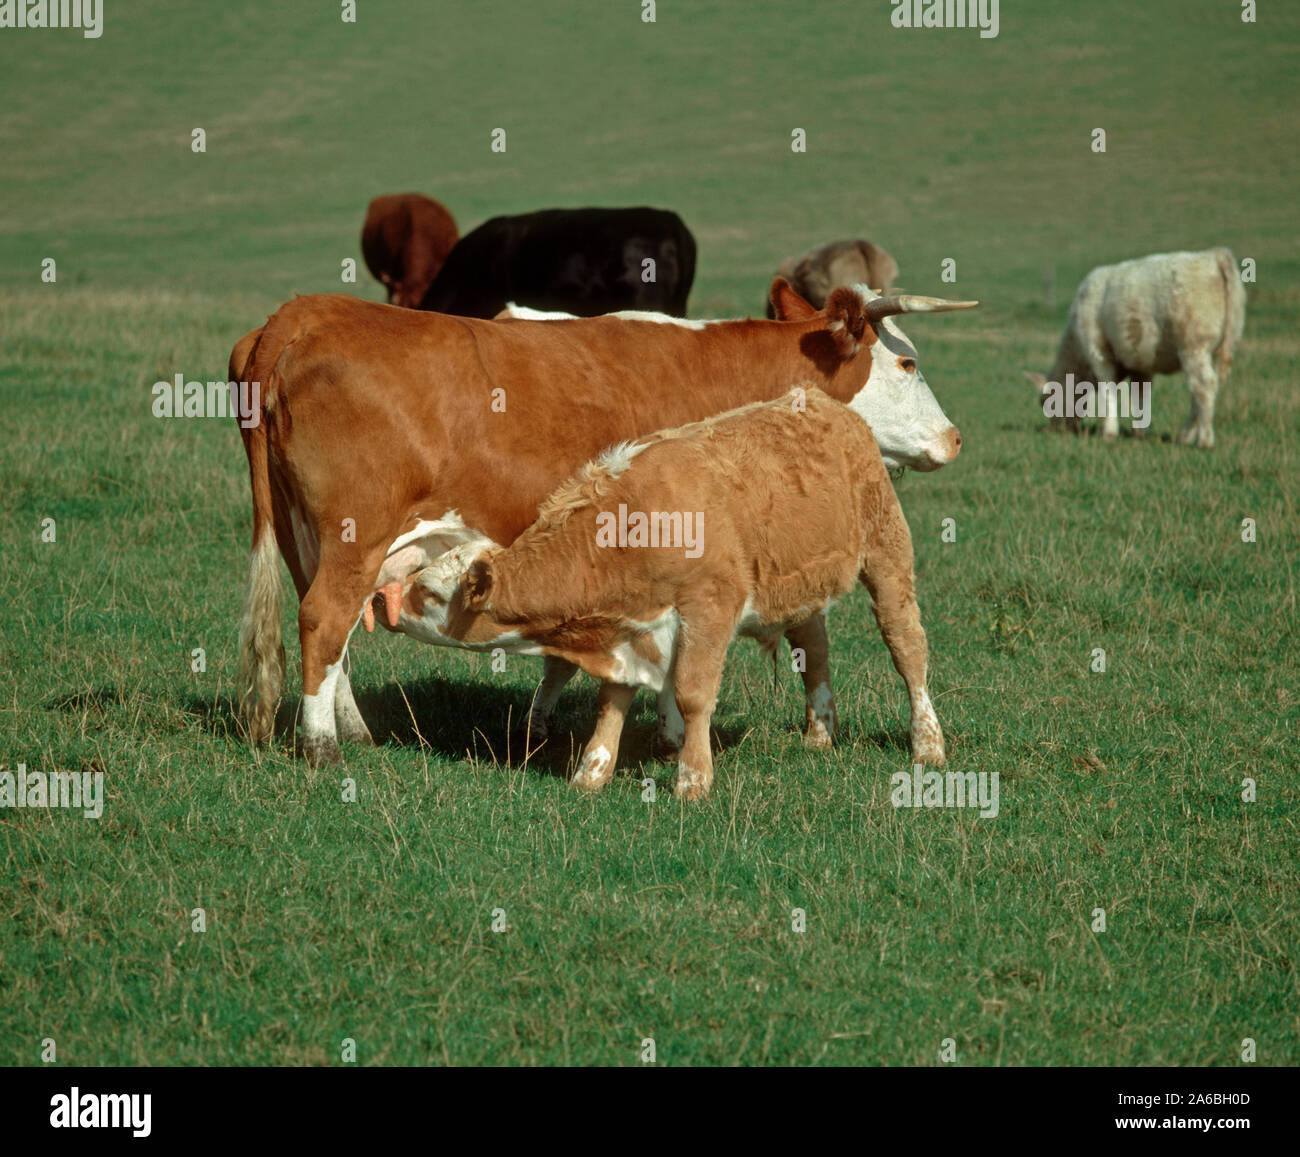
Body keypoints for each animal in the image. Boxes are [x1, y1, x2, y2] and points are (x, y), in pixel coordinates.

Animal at [367, 388, 943, 800]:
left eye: (429, 592)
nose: (379, 601)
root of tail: (826, 403)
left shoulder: (708, 610)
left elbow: (692, 694)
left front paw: (693, 780)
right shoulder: (631, 629)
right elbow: (613, 700)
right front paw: (592, 772)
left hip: (887, 551)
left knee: (907, 645)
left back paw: (928, 743)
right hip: (800, 588)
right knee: (815, 652)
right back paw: (819, 733)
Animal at [1025, 248, 1246, 448]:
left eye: (1045, 401)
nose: (1056, 430)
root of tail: (1213, 255)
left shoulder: (1098, 354)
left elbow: (1108, 391)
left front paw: (1109, 432)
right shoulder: (1142, 365)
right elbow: (1141, 397)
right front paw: (1140, 433)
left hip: (1193, 345)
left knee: (1203, 386)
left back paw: (1204, 440)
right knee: (1204, 390)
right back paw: (1186, 435)